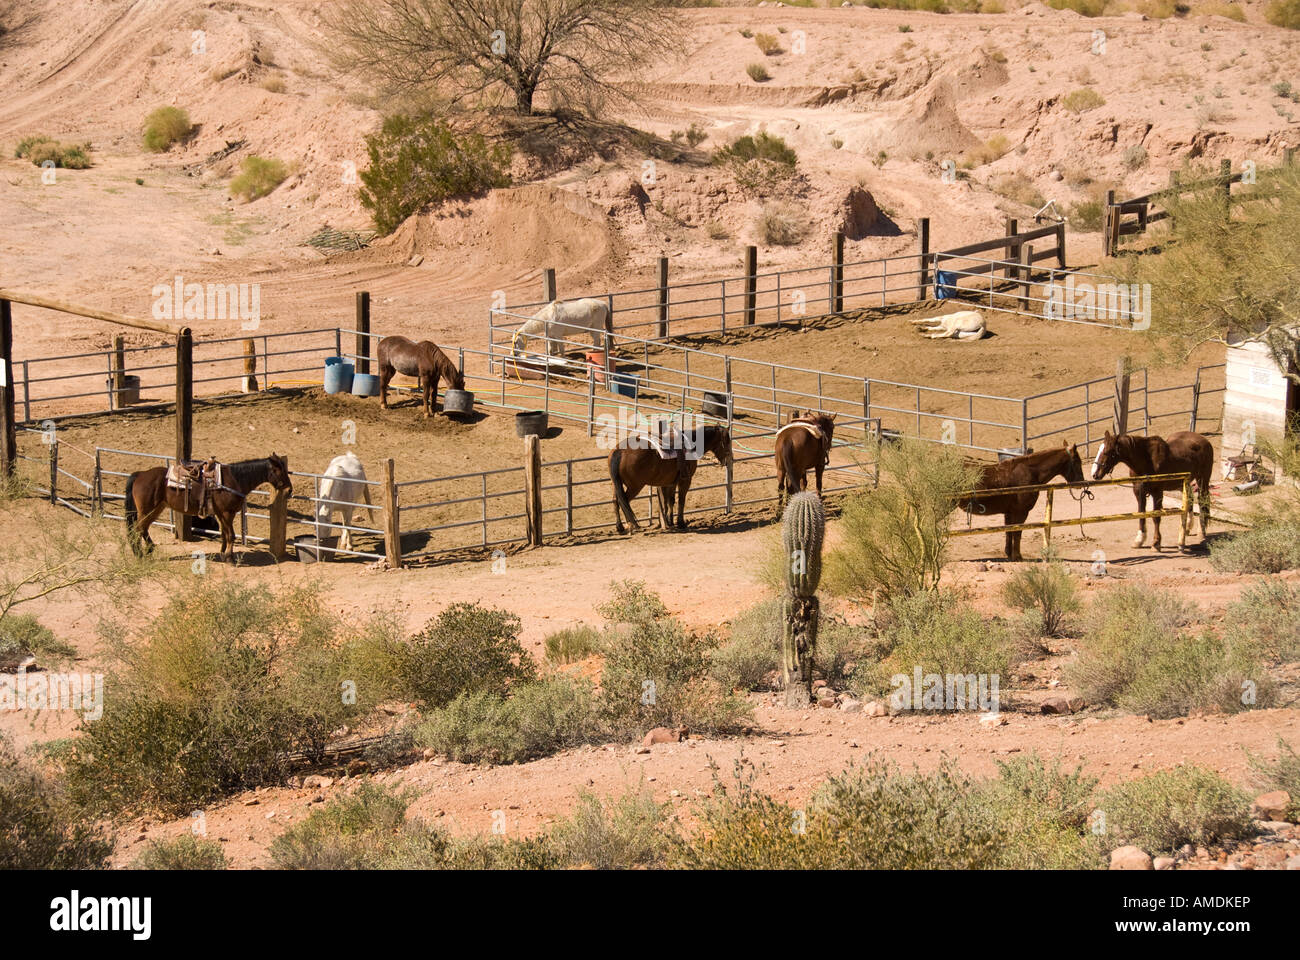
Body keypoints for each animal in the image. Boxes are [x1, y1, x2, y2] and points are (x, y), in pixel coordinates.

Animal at [124, 454, 292, 562]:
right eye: (278, 471)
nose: (289, 490)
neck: (235, 480)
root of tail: (140, 474)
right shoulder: (227, 513)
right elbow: (231, 535)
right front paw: (230, 558)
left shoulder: (221, 514)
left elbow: (224, 534)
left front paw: (224, 554)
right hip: (147, 510)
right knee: (138, 528)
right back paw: (141, 553)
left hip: (156, 509)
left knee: (143, 528)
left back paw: (147, 550)